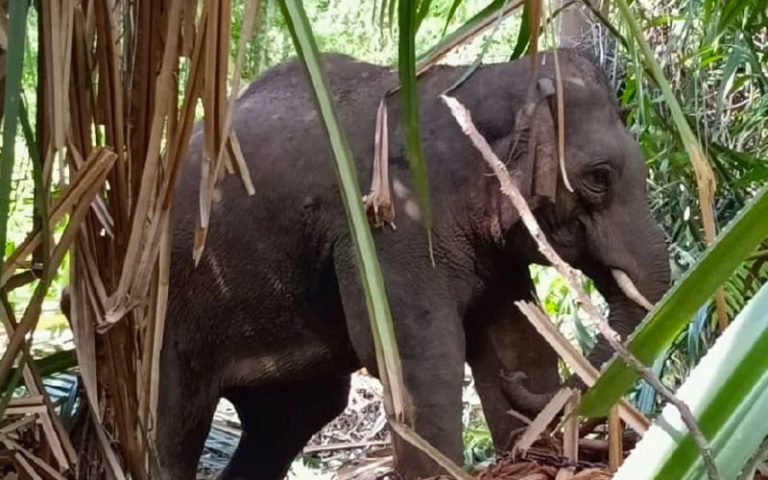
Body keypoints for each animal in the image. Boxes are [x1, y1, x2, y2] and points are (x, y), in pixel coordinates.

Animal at [66, 48, 671, 479]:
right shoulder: (387, 225)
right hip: (160, 310)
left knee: (299, 412)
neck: (471, 83)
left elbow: (512, 341)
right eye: (599, 177)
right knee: (173, 422)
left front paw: (525, 433)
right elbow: (420, 355)